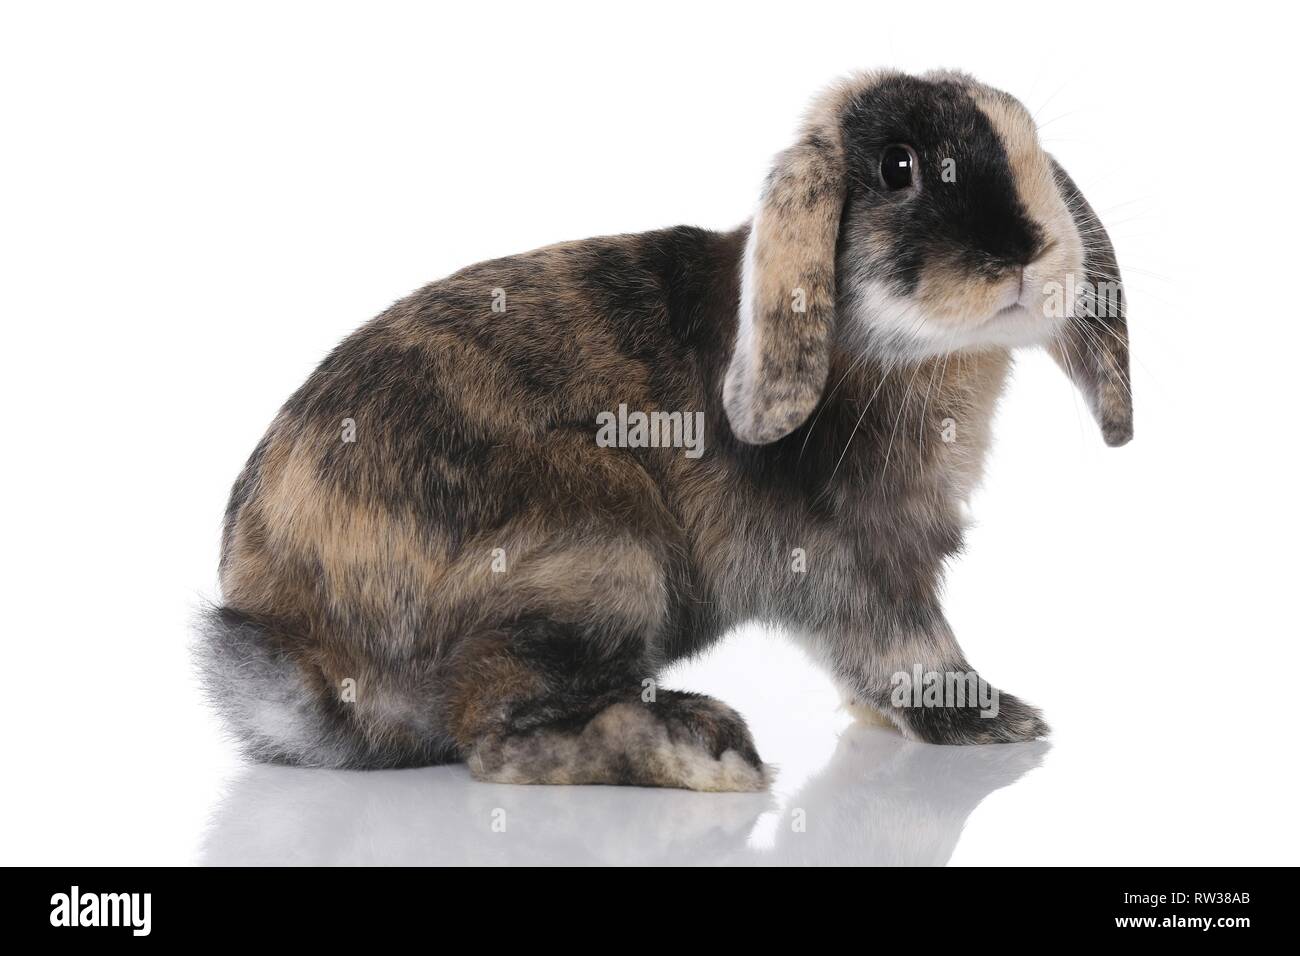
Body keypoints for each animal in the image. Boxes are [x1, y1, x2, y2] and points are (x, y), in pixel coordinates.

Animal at [199, 69, 1131, 791]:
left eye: (1028, 142)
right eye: (897, 167)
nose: (1028, 251)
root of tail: (314, 655)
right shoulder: (862, 562)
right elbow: (914, 651)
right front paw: (999, 720)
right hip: (605, 547)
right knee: (499, 734)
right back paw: (702, 747)